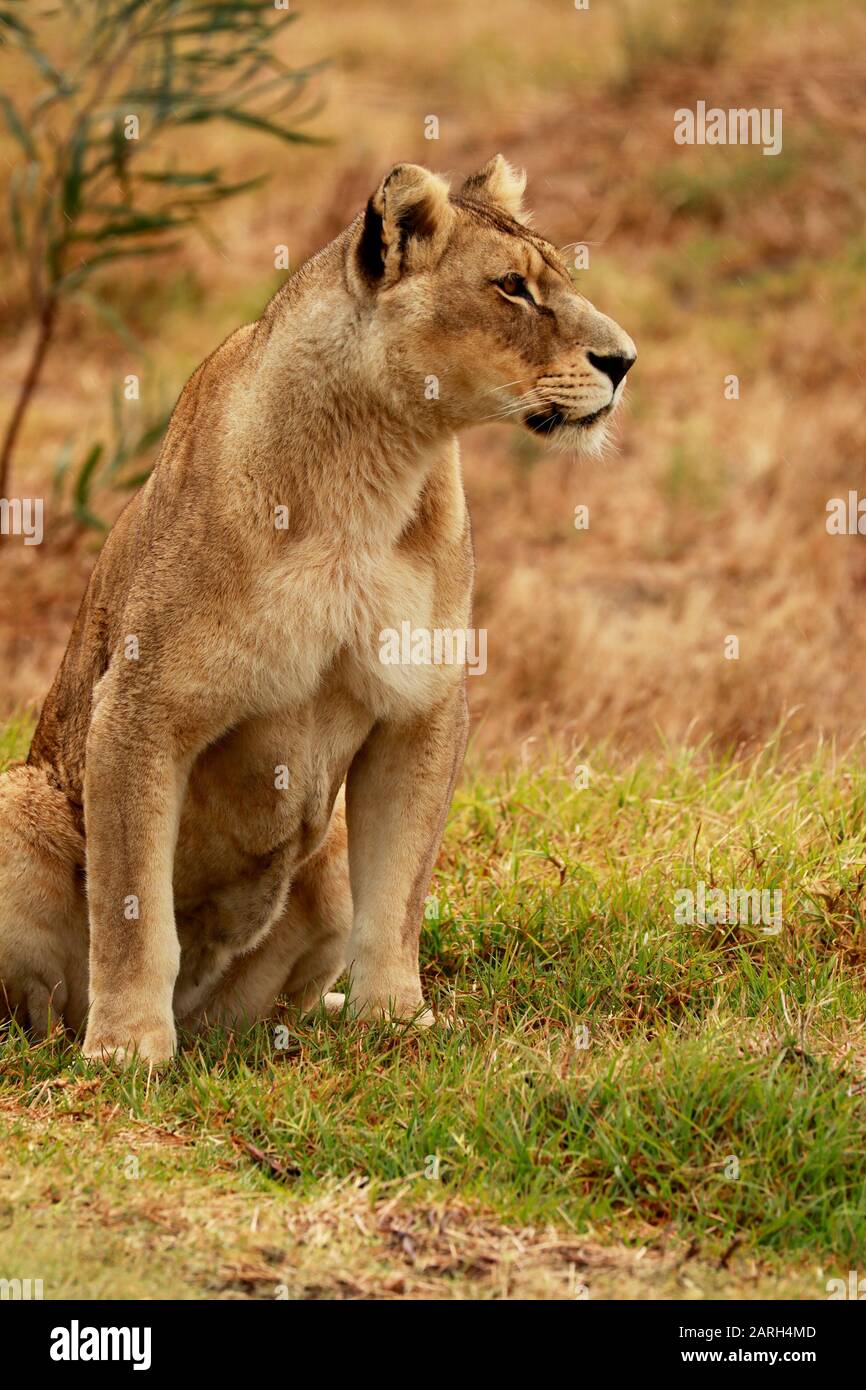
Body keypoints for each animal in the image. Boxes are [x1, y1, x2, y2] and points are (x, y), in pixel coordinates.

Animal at [0, 156, 635, 1063]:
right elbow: (131, 909)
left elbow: (399, 891)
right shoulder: (141, 705)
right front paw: (126, 1049)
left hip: (320, 857)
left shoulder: (420, 704)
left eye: (560, 279)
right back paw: (80, 1036)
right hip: (17, 805)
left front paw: (396, 1019)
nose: (625, 361)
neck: (378, 461)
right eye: (512, 287)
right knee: (46, 1000)